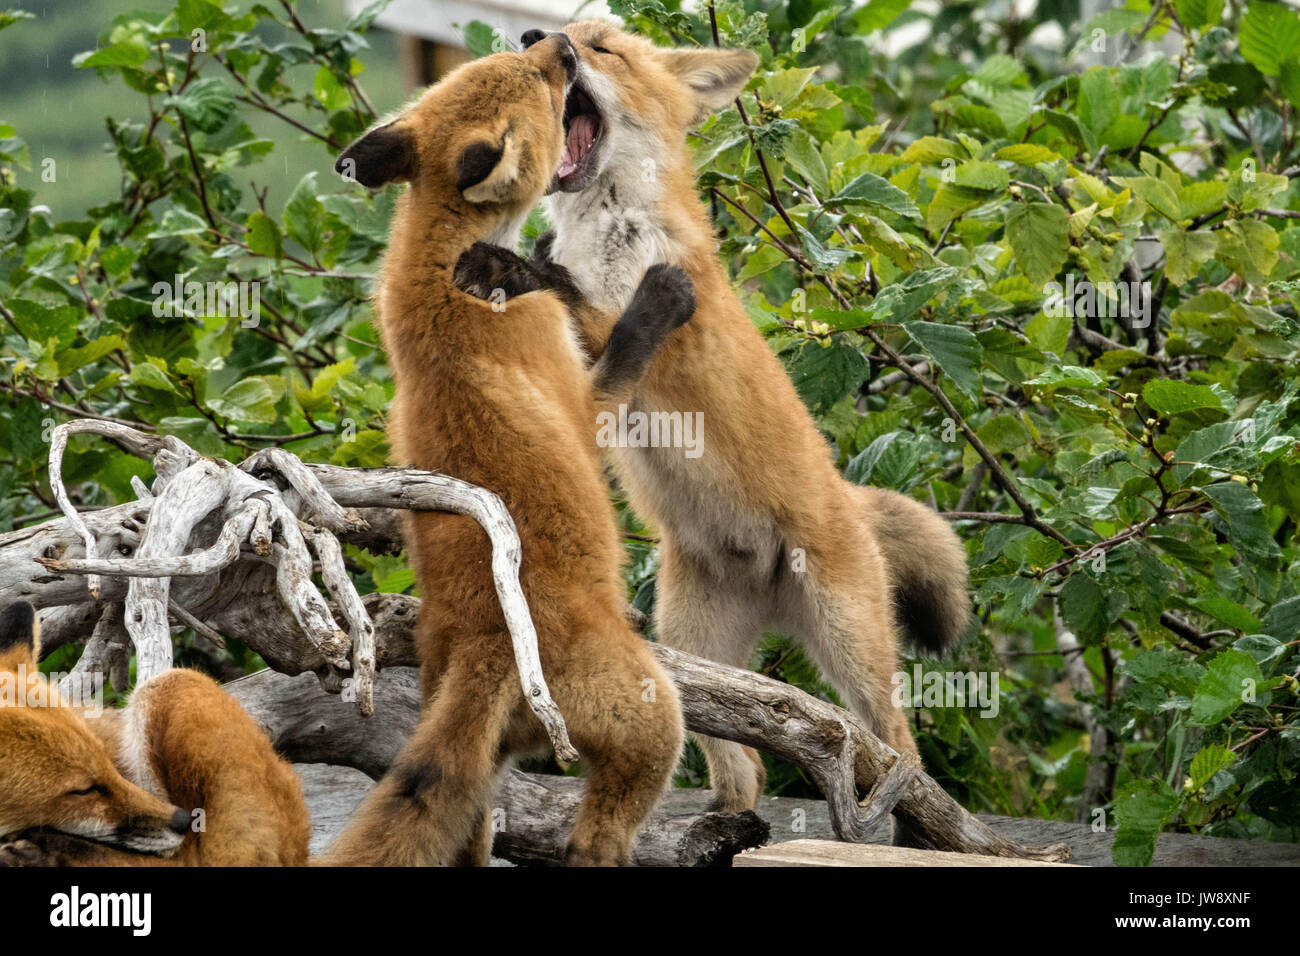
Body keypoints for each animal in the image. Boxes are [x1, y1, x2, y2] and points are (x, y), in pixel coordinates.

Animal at [316, 34, 690, 866]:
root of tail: (487, 646)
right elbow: (620, 348)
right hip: (653, 720)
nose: (550, 39)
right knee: (599, 835)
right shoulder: (579, 399)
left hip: (480, 773)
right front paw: (659, 298)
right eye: (545, 82)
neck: (436, 270)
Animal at [499, 22, 972, 829]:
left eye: (600, 46)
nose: (535, 34)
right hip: (692, 641)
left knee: (895, 746)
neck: (606, 237)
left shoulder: (642, 342)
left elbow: (588, 309)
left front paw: (524, 270)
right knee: (742, 761)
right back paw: (719, 822)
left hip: (852, 644)